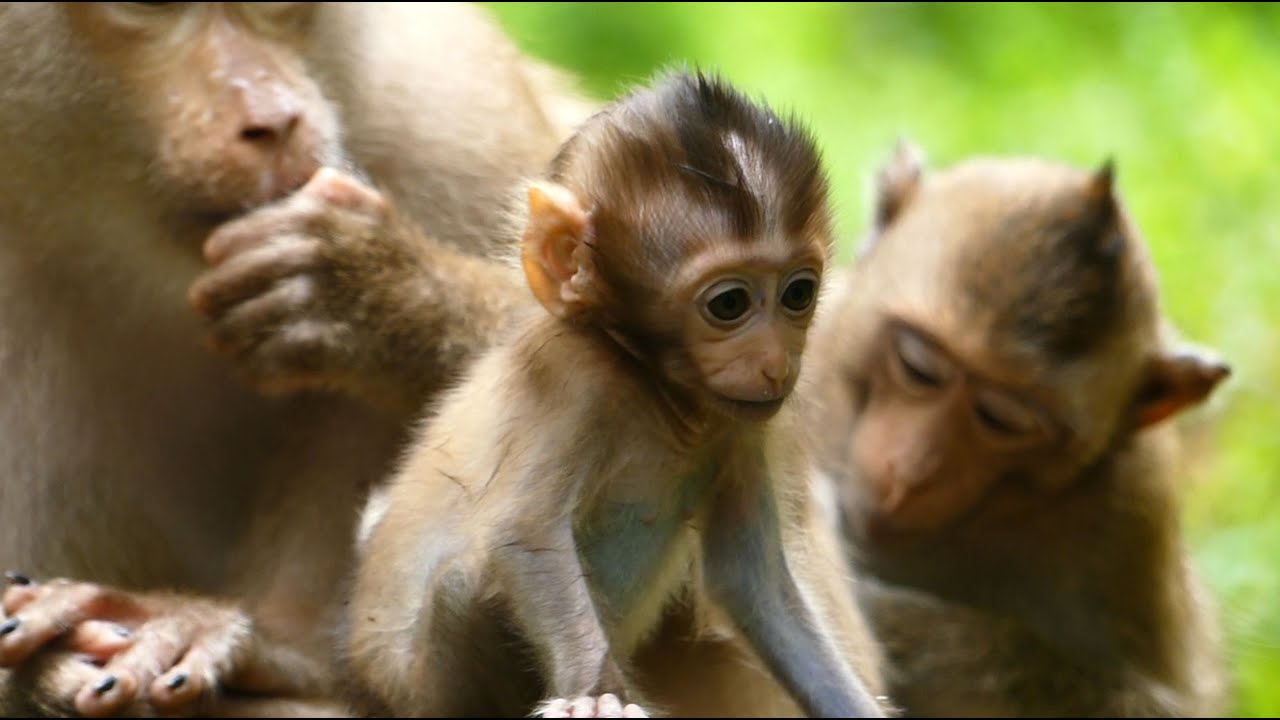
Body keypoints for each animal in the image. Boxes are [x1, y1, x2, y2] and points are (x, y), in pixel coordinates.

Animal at [343, 70, 888, 719]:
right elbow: (525, 535)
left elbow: (754, 587)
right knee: (458, 585)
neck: (649, 385)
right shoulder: (576, 377)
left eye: (798, 294)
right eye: (729, 303)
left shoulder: (741, 427)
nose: (777, 362)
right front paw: (598, 695)